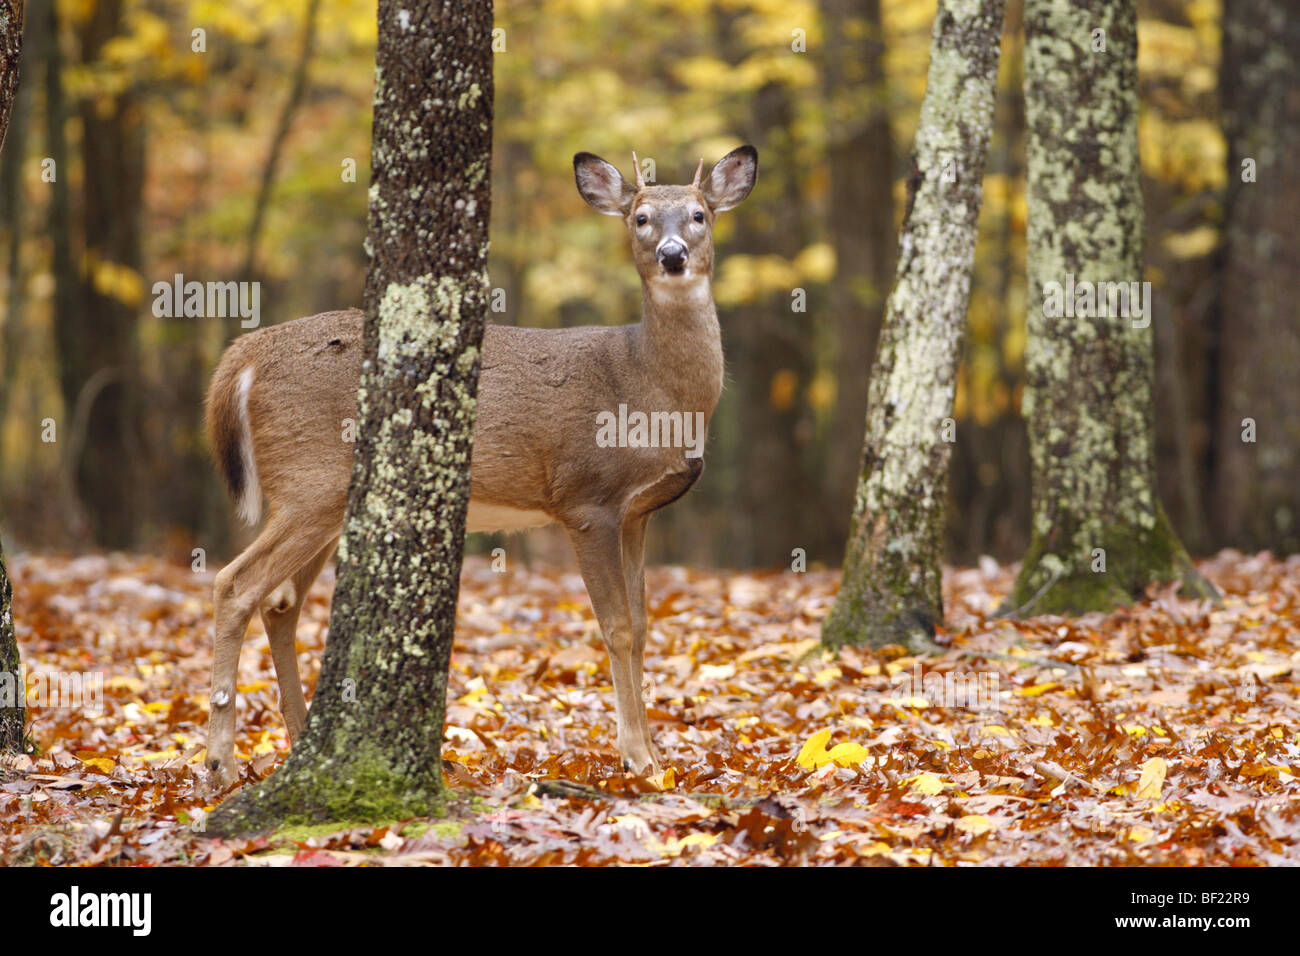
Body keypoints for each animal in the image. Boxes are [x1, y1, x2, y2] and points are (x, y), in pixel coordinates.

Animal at [202, 145, 758, 792]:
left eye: (699, 214)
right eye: (640, 218)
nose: (673, 255)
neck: (651, 387)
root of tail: (243, 357)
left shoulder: (638, 513)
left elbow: (643, 628)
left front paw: (654, 758)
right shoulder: (586, 498)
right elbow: (616, 628)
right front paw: (637, 760)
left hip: (326, 499)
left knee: (279, 603)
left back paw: (296, 744)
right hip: (308, 481)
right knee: (235, 584)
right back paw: (220, 761)